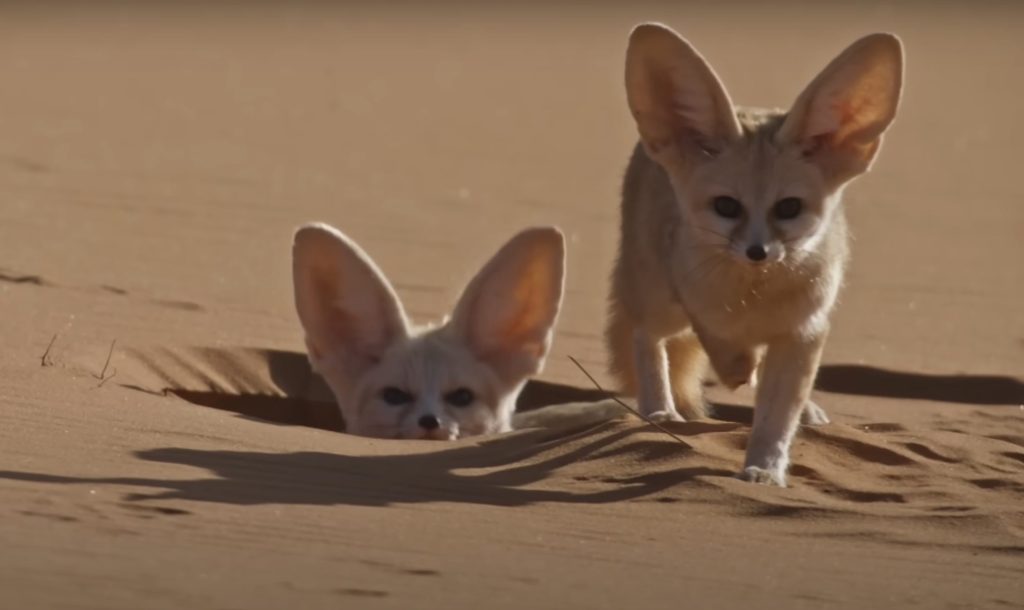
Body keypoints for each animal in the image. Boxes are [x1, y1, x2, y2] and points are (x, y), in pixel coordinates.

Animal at [606, 23, 903, 485]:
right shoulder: (697, 303)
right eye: (727, 206)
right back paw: (660, 411)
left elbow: (777, 413)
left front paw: (765, 470)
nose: (757, 252)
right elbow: (721, 344)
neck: (754, 298)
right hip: (660, 301)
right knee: (646, 336)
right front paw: (735, 368)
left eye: (789, 208)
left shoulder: (804, 332)